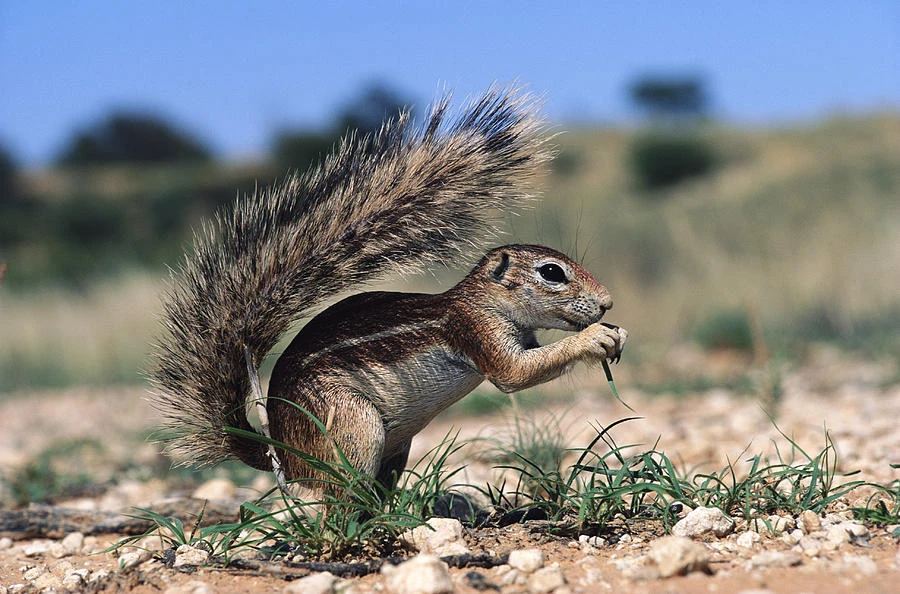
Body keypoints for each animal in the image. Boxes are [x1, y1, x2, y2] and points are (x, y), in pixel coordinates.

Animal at [151, 86, 627, 490]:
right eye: (552, 273)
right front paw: (596, 338)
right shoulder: (475, 330)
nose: (607, 303)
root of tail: (282, 452)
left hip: (395, 448)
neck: (485, 300)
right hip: (352, 424)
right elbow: (515, 374)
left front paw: (616, 334)